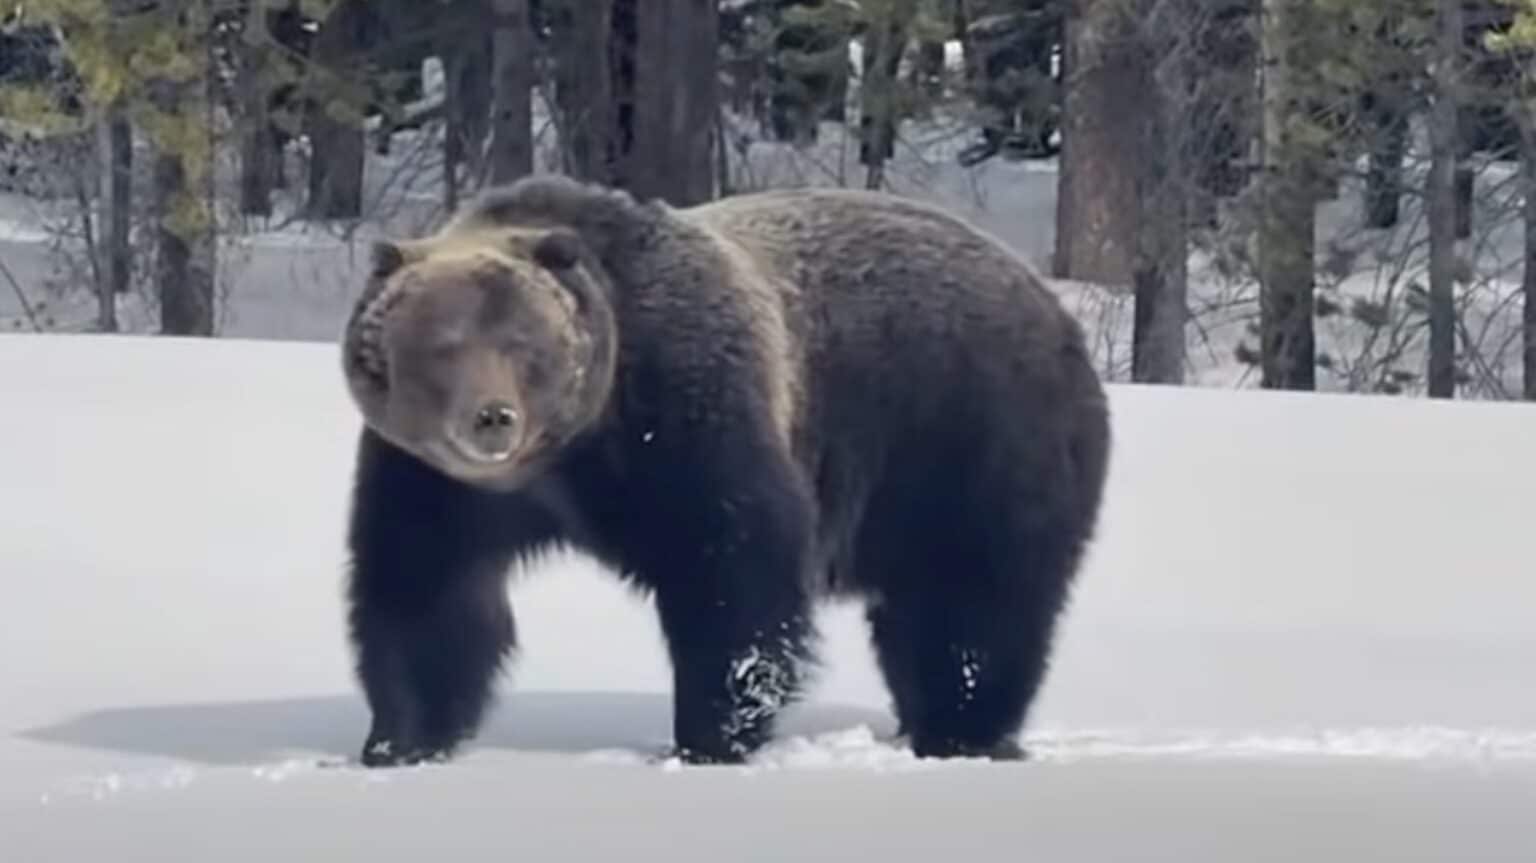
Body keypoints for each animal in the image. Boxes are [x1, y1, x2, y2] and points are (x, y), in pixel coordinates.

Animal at [338, 173, 1111, 768]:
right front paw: (397, 739)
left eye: (525, 344)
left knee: (975, 605)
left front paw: (710, 736)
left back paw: (962, 730)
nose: (492, 417)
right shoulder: (432, 480)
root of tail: (1052, 302)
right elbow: (423, 591)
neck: (568, 454)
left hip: (973, 439)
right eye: (444, 344)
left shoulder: (684, 416)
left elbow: (734, 572)